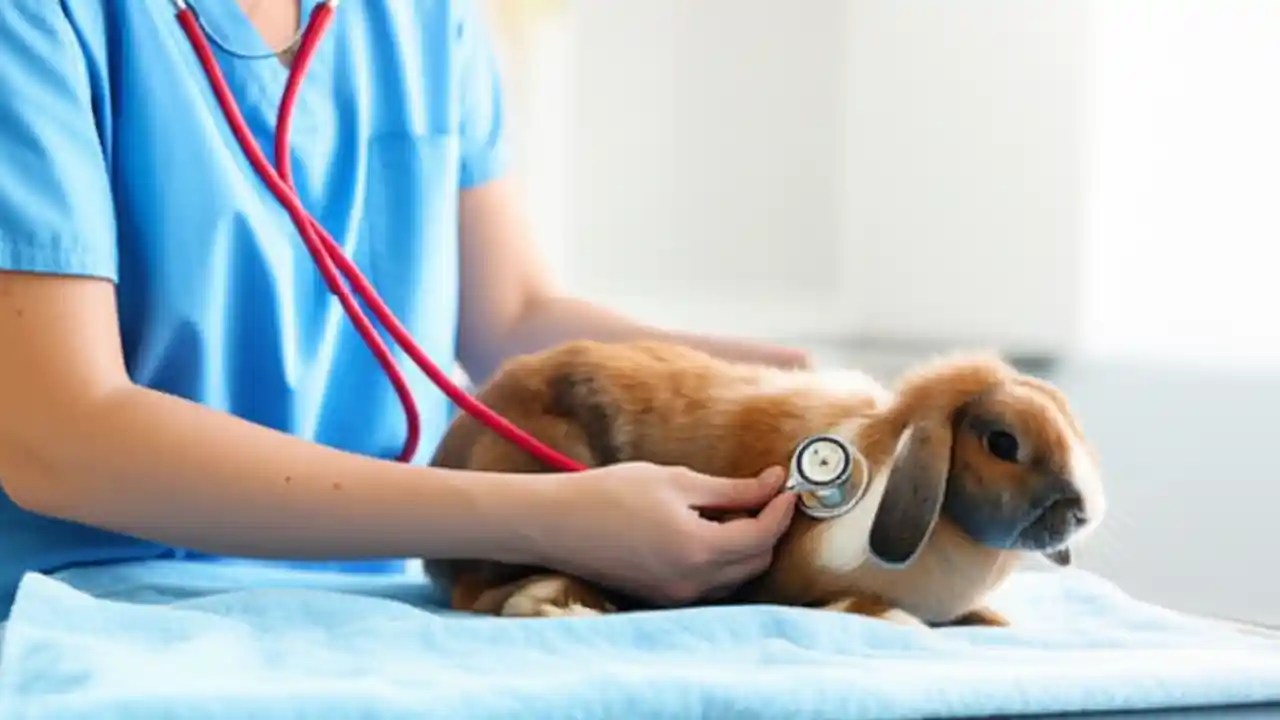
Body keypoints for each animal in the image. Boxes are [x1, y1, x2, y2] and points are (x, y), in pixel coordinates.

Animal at [424, 339, 1105, 627]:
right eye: (1003, 443)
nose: (1082, 512)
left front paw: (991, 620)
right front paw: (890, 617)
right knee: (475, 594)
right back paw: (562, 602)